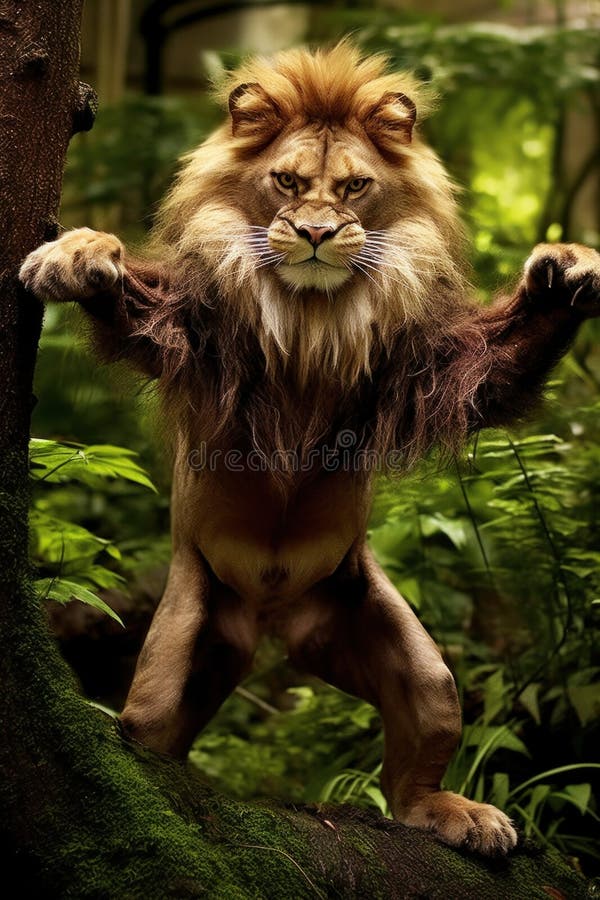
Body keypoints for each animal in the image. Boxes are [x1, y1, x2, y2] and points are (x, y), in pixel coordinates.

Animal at [20, 42, 600, 856]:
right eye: (288, 182)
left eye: (354, 186)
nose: (320, 234)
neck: (314, 316)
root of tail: (272, 620)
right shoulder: (197, 336)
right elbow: (128, 289)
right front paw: (73, 254)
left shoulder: (427, 367)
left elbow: (497, 360)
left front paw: (568, 268)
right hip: (181, 641)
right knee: (148, 729)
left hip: (401, 650)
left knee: (416, 754)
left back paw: (455, 813)